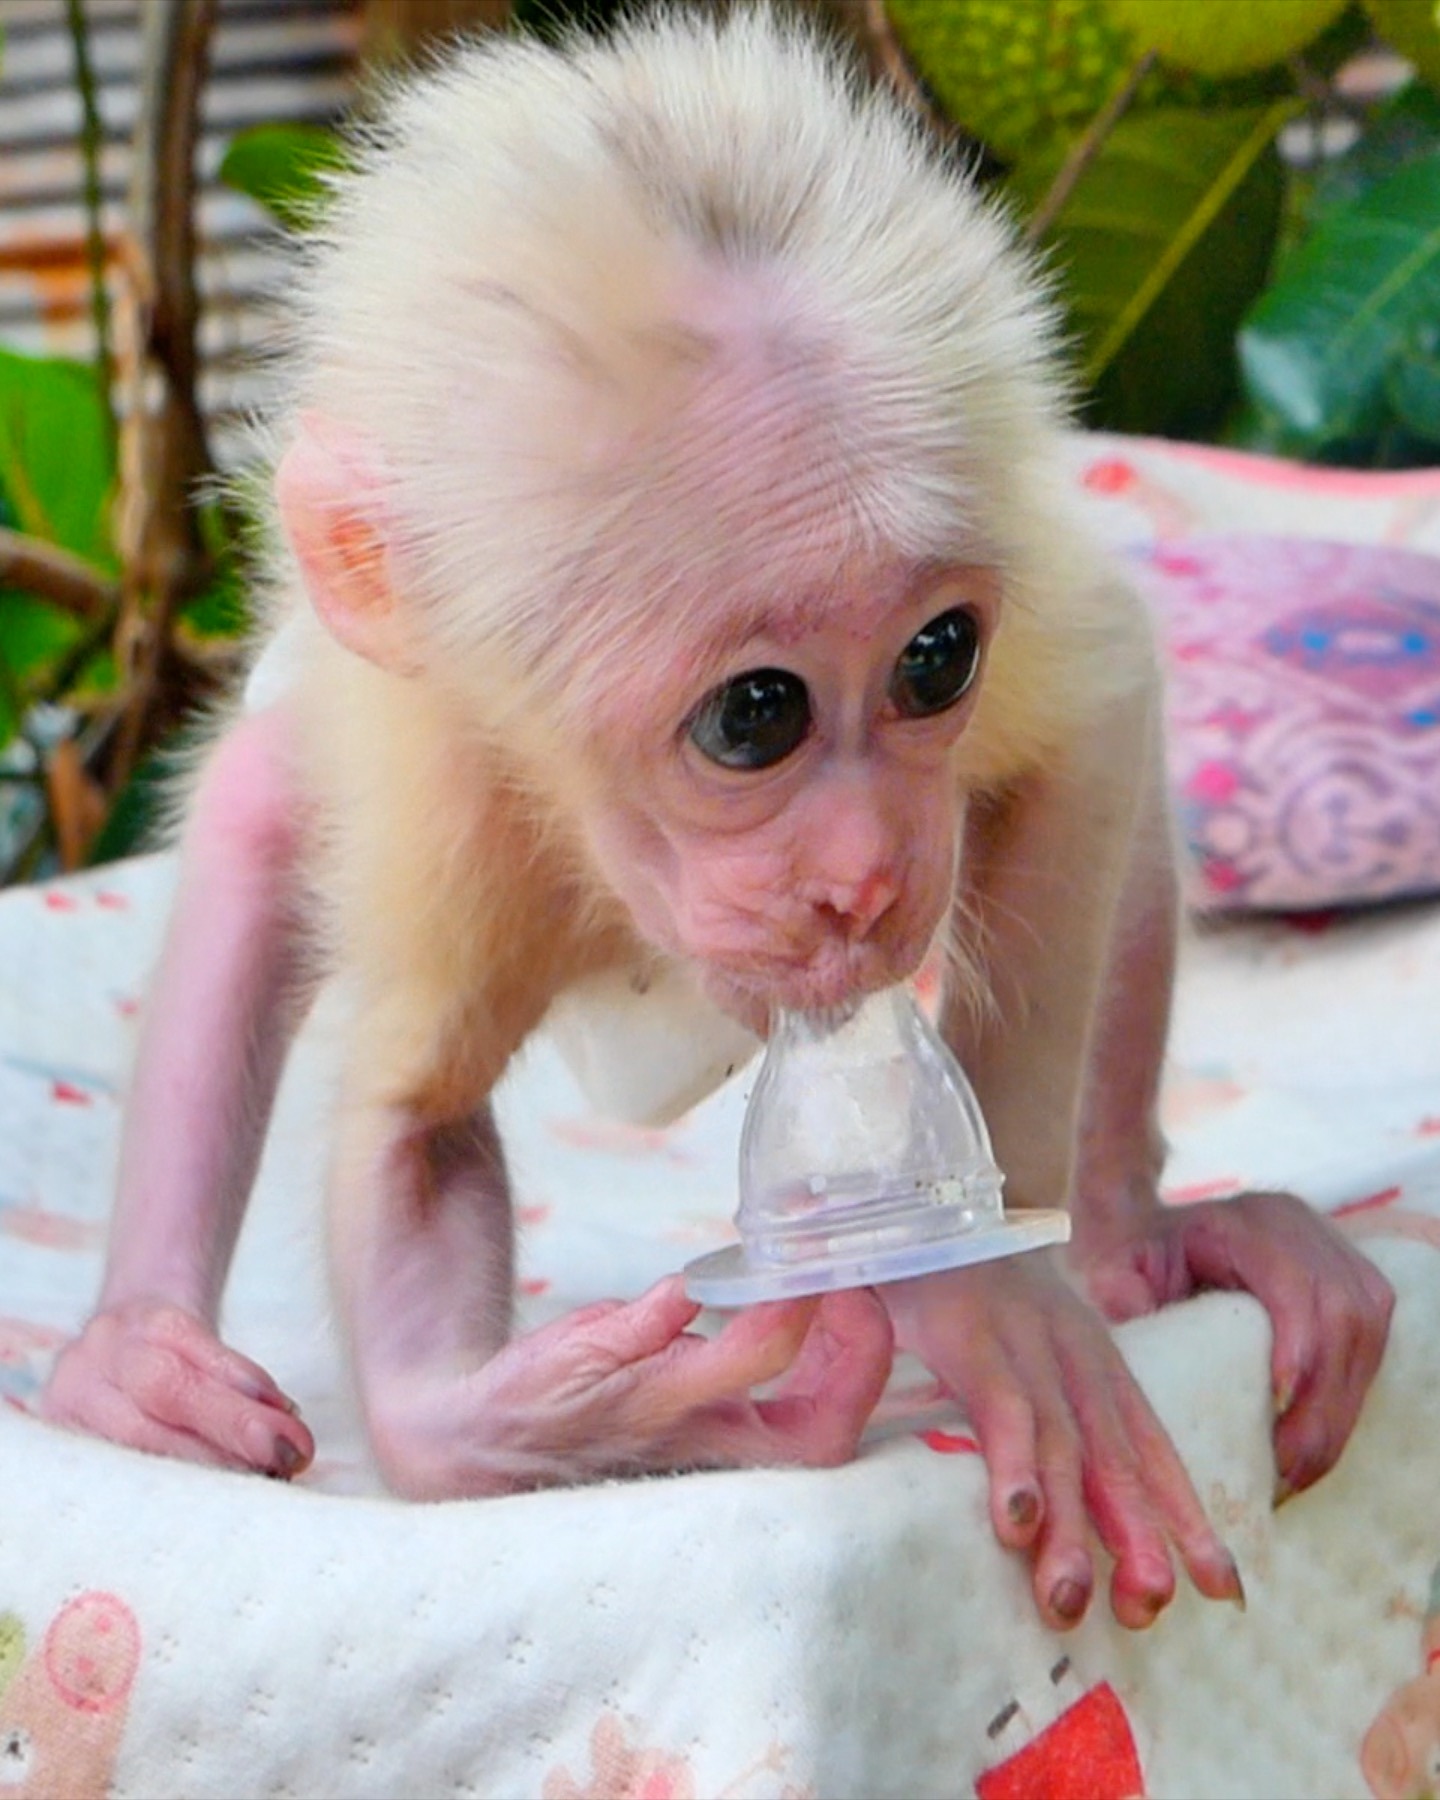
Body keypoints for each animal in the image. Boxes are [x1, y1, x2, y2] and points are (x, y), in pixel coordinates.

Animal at [42, 7, 1391, 1636]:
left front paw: (990, 1281)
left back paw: (1138, 1233)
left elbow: (1097, 722)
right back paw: (138, 1350)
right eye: (755, 716)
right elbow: (412, 1122)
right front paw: (549, 1424)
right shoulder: (450, 799)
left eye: (934, 658)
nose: (866, 880)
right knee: (251, 820)